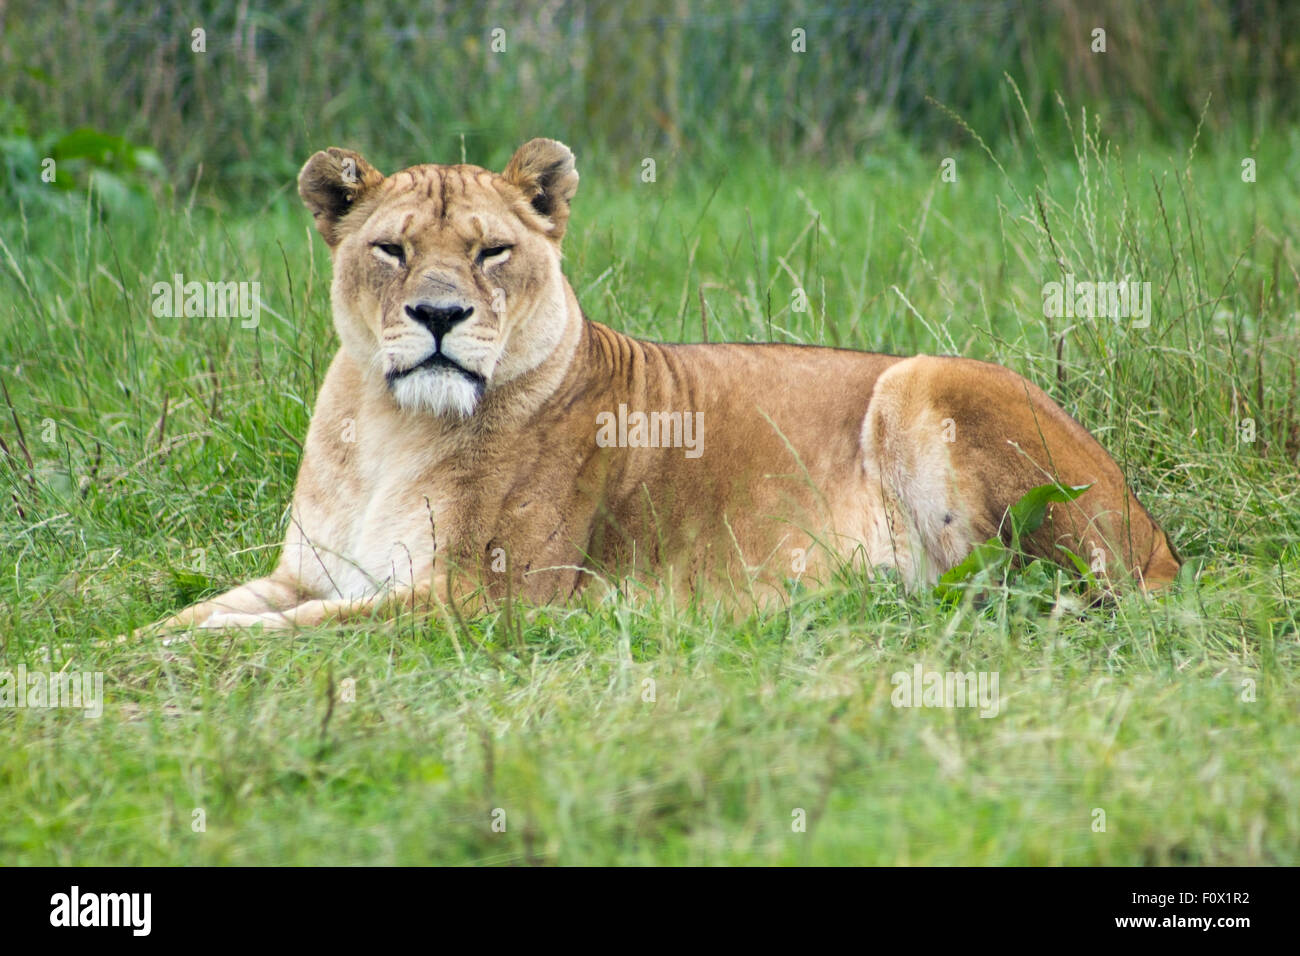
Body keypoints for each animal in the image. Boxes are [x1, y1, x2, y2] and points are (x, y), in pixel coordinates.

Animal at [148, 138, 1180, 632]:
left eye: (491, 252)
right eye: (391, 250)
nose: (438, 315)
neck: (389, 424)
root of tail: (1157, 531)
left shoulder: (485, 599)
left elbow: (288, 635)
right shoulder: (307, 572)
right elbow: (207, 614)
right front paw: (125, 646)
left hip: (931, 384)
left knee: (1020, 587)